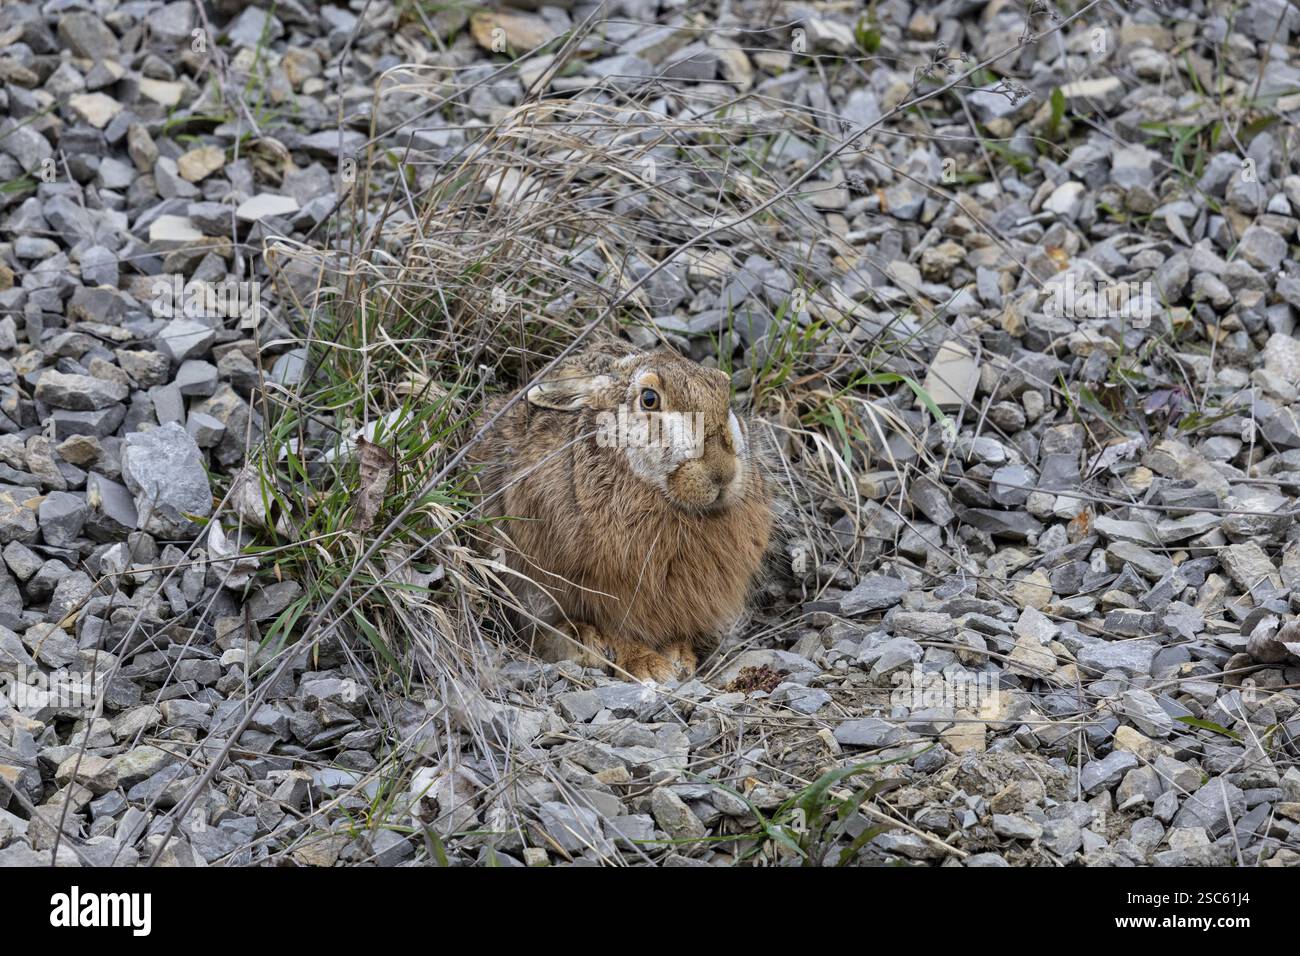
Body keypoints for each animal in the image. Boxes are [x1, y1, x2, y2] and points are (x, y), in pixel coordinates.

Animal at [469, 338, 775, 682]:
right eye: (649, 399)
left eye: (725, 394)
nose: (722, 472)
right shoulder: (602, 590)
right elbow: (618, 630)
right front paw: (649, 667)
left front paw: (680, 657)